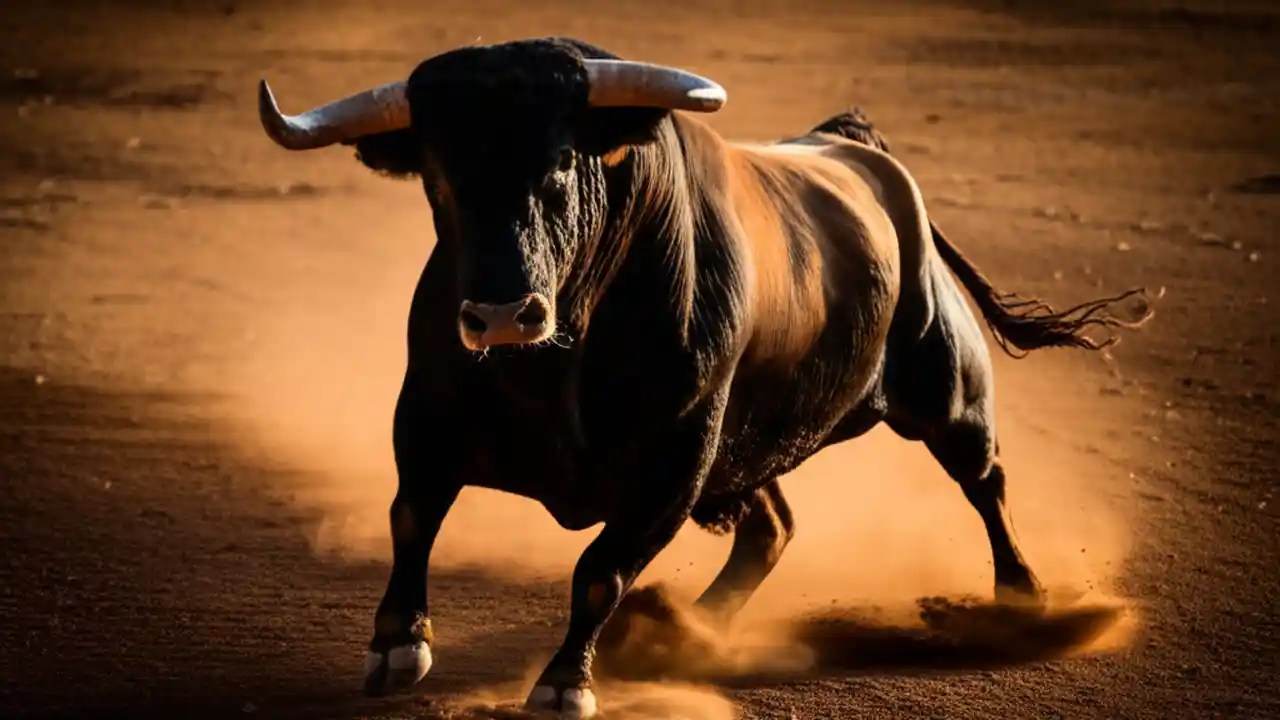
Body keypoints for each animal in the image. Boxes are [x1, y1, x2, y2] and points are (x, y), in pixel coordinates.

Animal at [257, 37, 1150, 719]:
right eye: (439, 178)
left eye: (560, 166)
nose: (502, 315)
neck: (559, 360)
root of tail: (856, 151)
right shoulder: (428, 418)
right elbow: (411, 519)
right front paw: (396, 646)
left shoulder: (673, 458)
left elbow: (600, 572)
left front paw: (563, 684)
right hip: (746, 446)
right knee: (772, 527)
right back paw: (696, 629)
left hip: (945, 389)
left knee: (984, 481)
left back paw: (1022, 596)